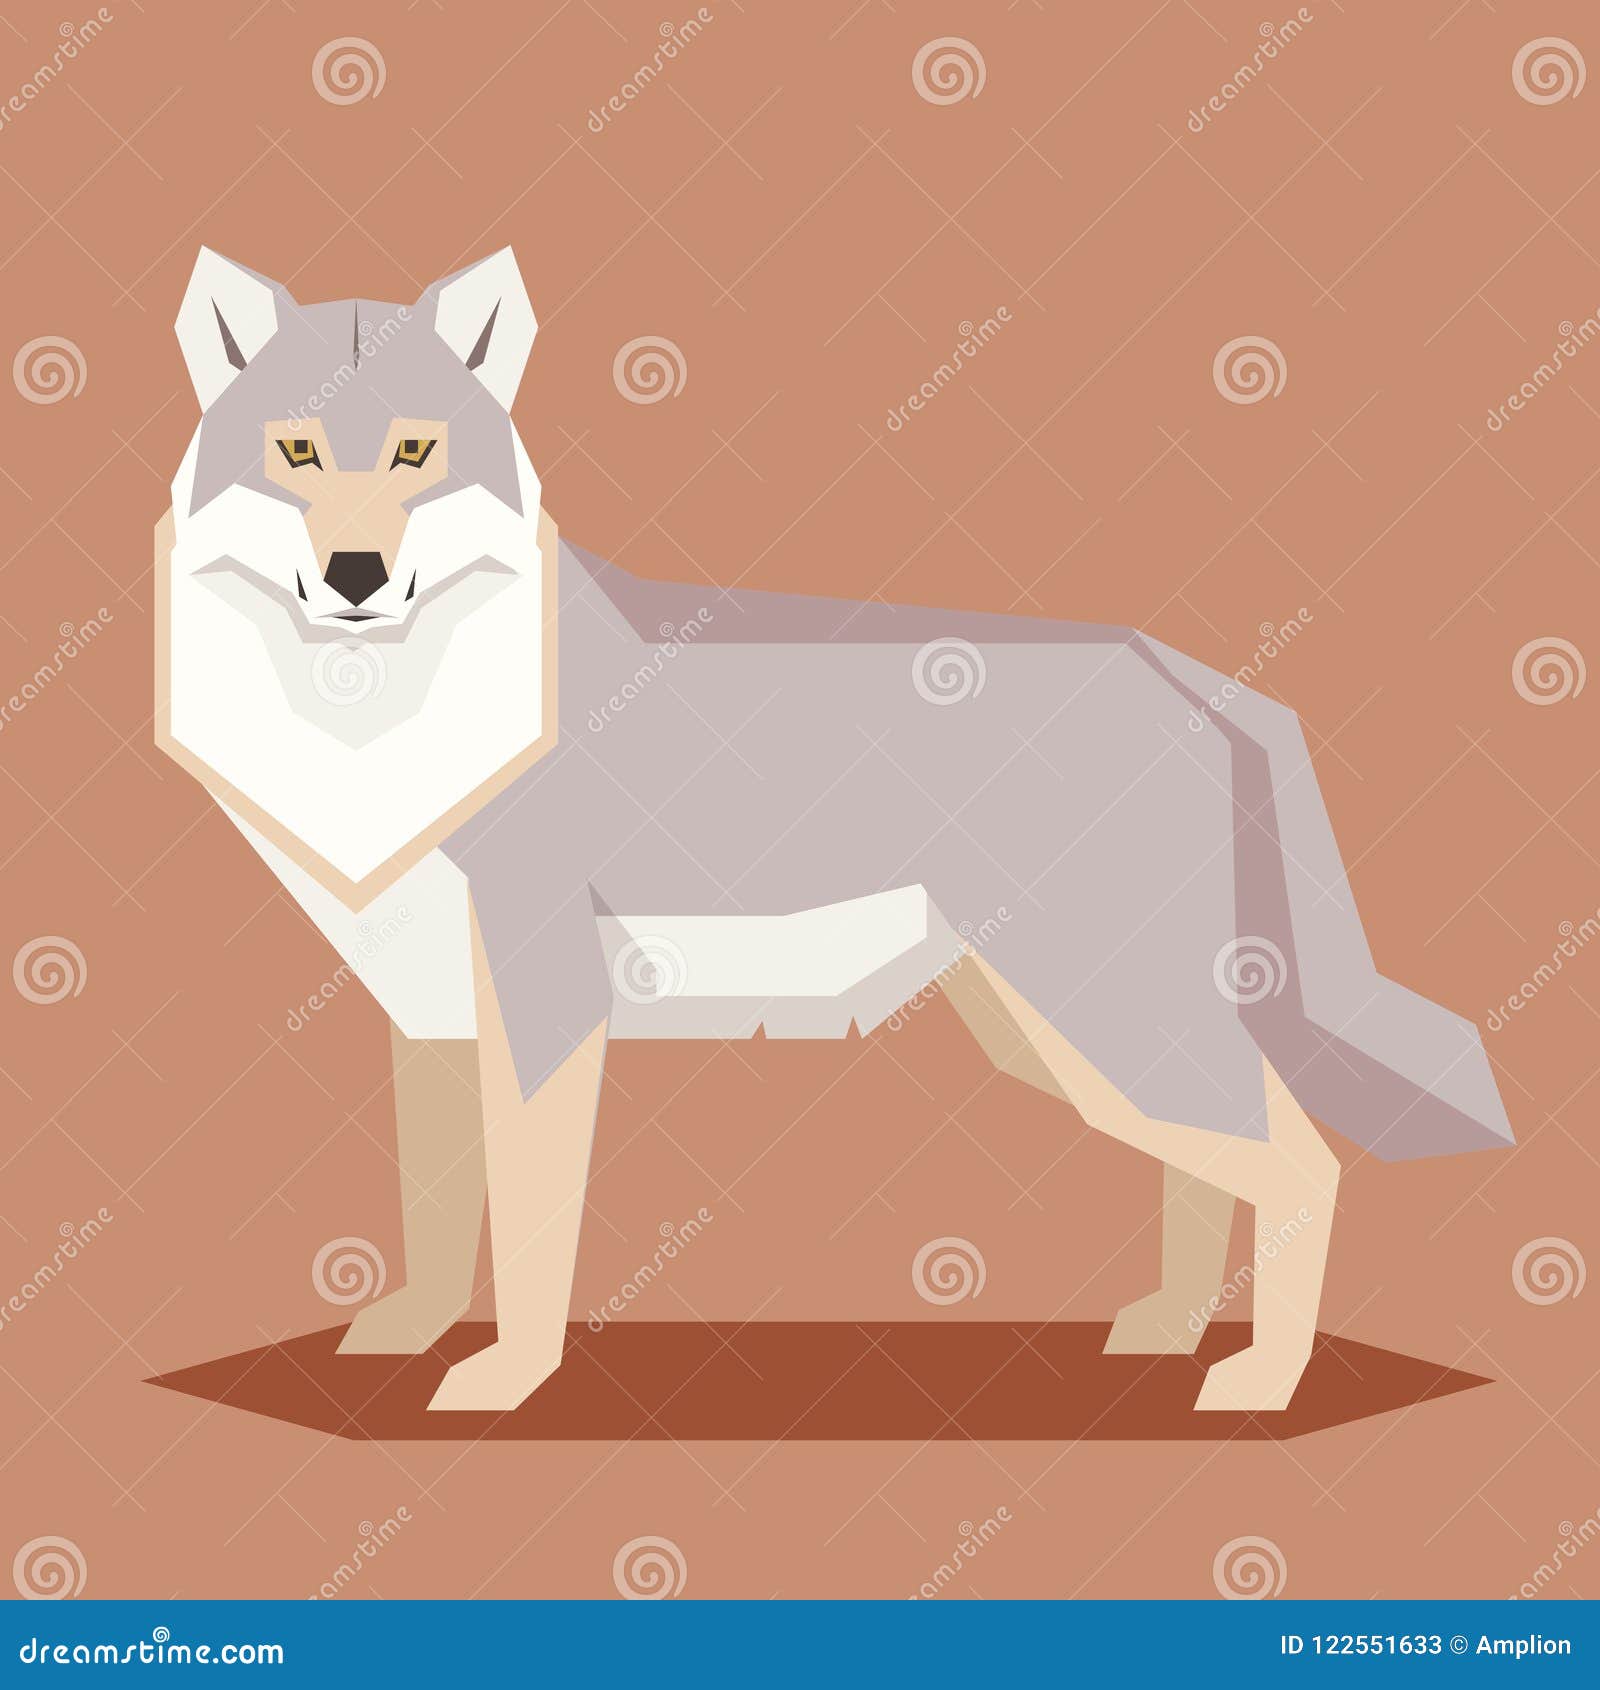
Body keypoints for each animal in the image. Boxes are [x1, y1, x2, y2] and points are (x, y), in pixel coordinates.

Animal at [155, 247, 1514, 1415]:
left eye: (416, 452)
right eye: (294, 449)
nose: (357, 575)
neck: (375, 733)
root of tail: (1183, 671)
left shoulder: (545, 1015)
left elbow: (532, 1234)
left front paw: (504, 1381)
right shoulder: (431, 1013)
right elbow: (436, 1217)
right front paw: (412, 1331)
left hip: (1115, 1026)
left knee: (1303, 1165)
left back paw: (1261, 1382)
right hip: (1076, 1040)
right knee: (1219, 1165)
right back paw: (1172, 1332)